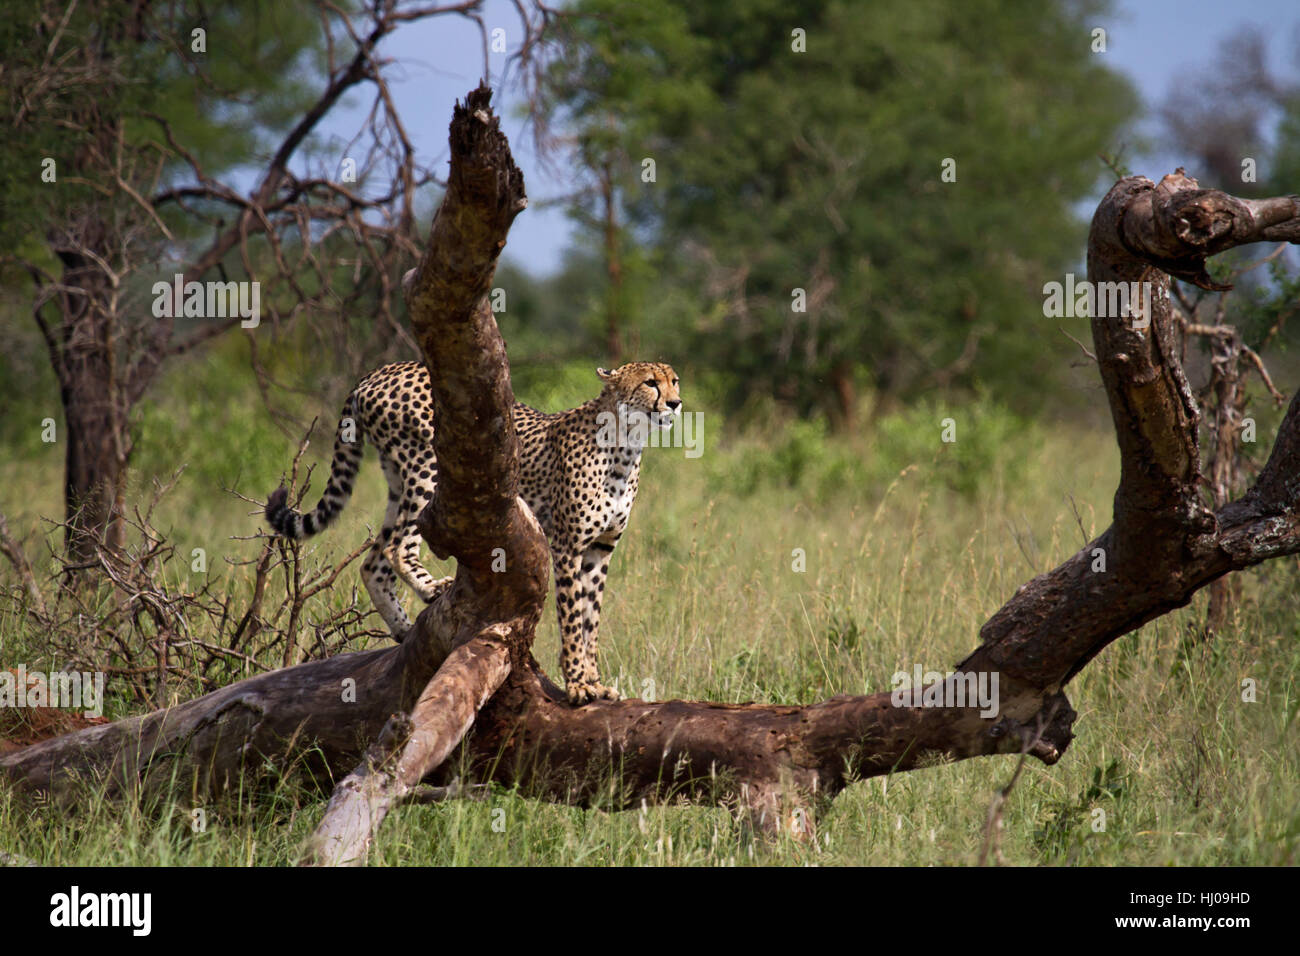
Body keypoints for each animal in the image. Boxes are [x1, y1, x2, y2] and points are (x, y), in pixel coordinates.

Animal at [265, 360, 682, 705]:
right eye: (650, 382)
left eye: (673, 380)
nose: (676, 403)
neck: (626, 443)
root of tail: (381, 370)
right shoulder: (568, 547)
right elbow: (572, 618)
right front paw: (579, 685)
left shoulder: (600, 549)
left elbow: (591, 619)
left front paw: (593, 681)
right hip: (427, 468)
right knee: (397, 546)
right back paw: (432, 589)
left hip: (397, 481)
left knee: (372, 562)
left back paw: (403, 630)